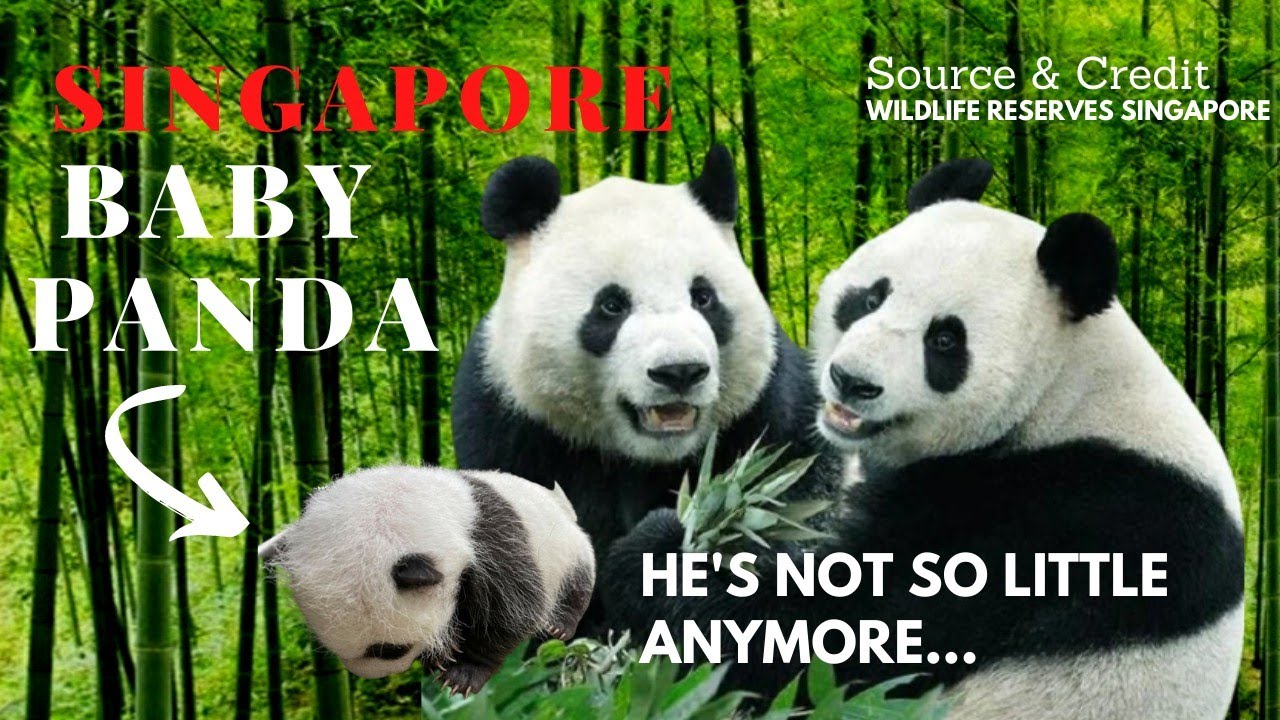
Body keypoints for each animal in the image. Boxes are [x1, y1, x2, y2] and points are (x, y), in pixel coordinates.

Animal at [258, 466, 595, 695]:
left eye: (388, 650)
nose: (369, 676)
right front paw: (444, 652)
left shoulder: (493, 543)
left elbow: (515, 612)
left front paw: (461, 674)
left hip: (568, 549)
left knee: (576, 583)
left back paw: (559, 625)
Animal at [452, 146, 844, 629]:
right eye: (611, 305)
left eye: (703, 297)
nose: (680, 371)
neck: (648, 455)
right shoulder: (511, 426)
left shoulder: (774, 418)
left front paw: (661, 554)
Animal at [603, 159, 1243, 719]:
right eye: (870, 297)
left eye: (944, 340)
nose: (851, 381)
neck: (1067, 389)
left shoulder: (1067, 518)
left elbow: (838, 632)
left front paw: (661, 550)